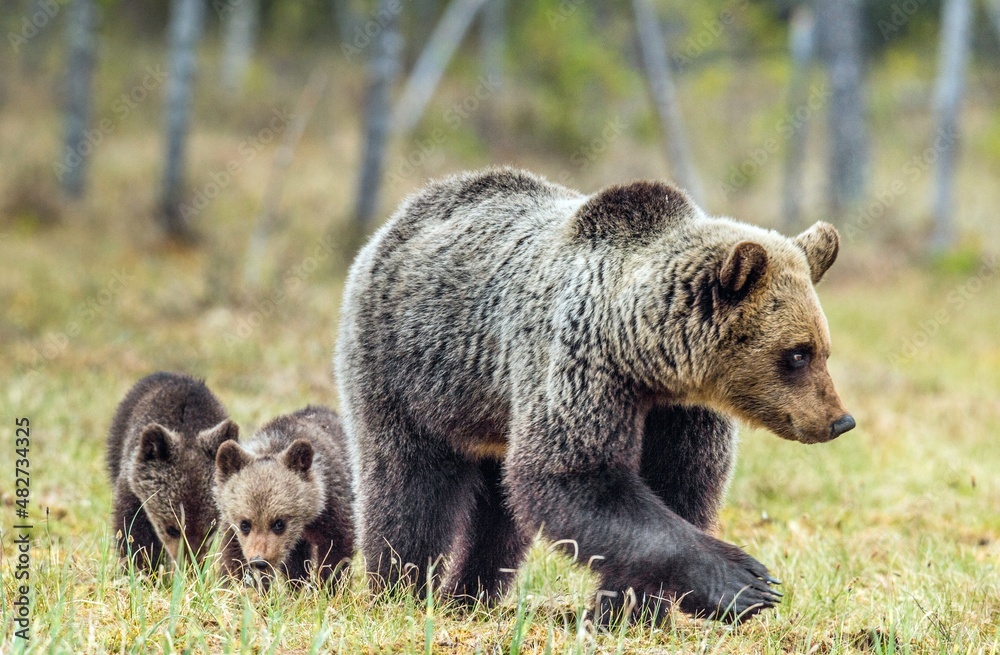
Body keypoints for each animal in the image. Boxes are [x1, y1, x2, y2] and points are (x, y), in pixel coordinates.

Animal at [107, 372, 239, 570]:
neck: (188, 429)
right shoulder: (132, 487)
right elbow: (132, 531)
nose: (190, 565)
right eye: (172, 529)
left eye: (210, 530)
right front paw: (144, 568)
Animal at [214, 405, 355, 590]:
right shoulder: (233, 526)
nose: (259, 561)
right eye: (245, 524)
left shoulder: (333, 506)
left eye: (279, 523)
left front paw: (330, 587)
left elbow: (336, 550)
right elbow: (233, 555)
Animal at [335, 167, 855, 624]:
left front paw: (628, 610)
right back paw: (400, 590)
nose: (839, 420)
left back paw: (470, 595)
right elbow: (575, 477)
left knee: (498, 515)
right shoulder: (577, 366)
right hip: (409, 371)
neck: (643, 354)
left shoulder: (680, 411)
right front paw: (743, 583)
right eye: (796, 354)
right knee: (407, 485)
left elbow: (679, 484)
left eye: (823, 349)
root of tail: (402, 215)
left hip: (488, 411)